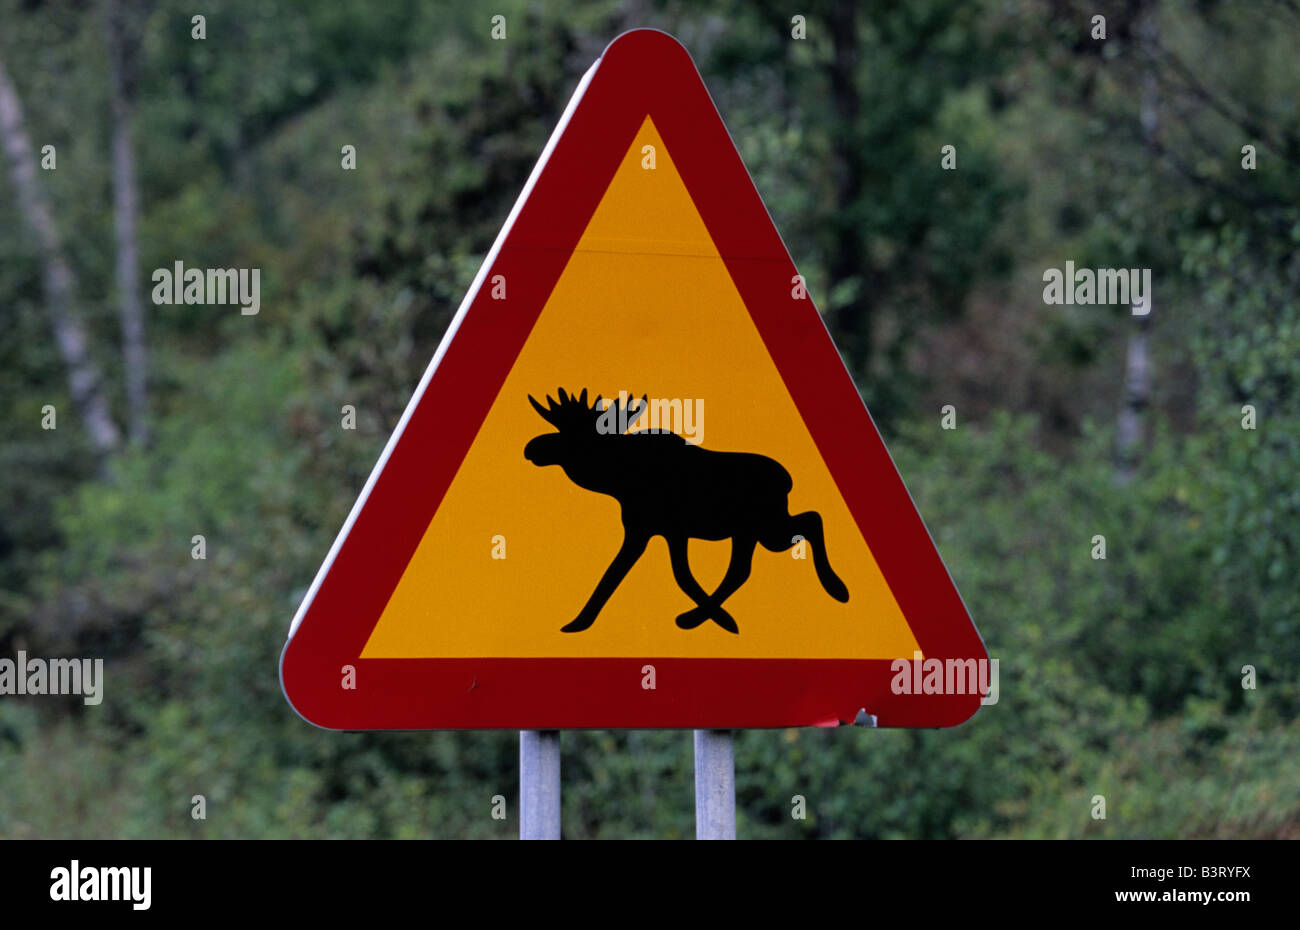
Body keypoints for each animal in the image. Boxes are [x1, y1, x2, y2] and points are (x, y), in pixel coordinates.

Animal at [523, 388, 849, 634]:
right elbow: (633, 573)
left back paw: (837, 588)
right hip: (753, 531)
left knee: (811, 520)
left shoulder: (662, 530)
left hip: (766, 529)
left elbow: (658, 575)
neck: (618, 479)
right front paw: (579, 622)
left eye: (576, 436)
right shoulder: (653, 531)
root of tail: (787, 480)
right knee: (744, 567)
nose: (531, 447)